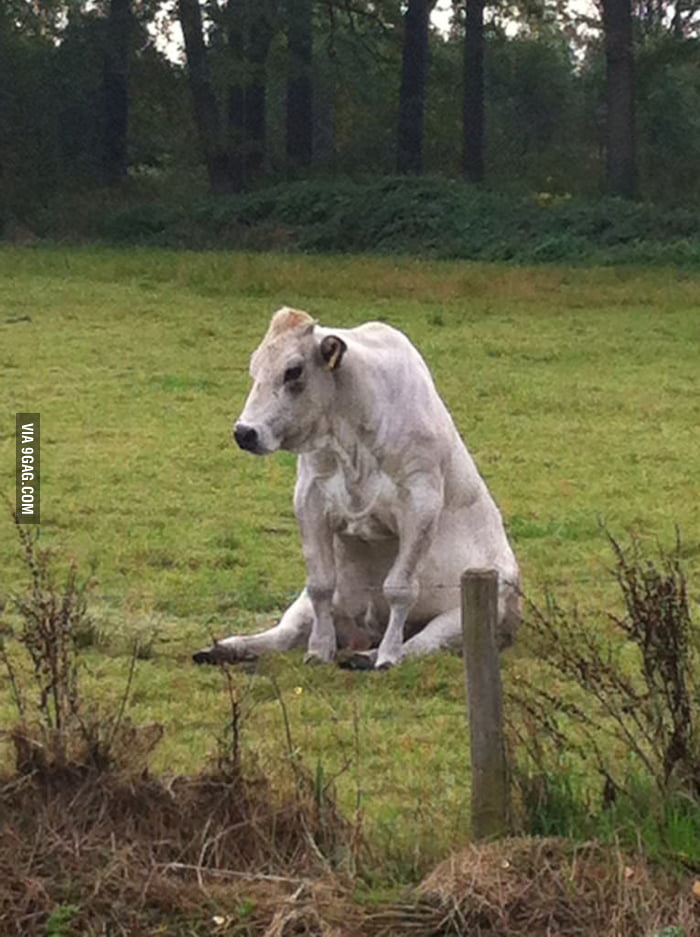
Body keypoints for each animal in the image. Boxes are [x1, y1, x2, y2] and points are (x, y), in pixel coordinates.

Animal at [193, 307, 520, 670]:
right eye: (255, 364)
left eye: (293, 371)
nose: (244, 432)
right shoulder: (309, 499)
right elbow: (320, 584)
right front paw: (319, 649)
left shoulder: (420, 504)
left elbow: (400, 587)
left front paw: (387, 655)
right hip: (305, 607)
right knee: (284, 633)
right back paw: (226, 647)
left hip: (467, 614)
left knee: (421, 642)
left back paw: (372, 655)